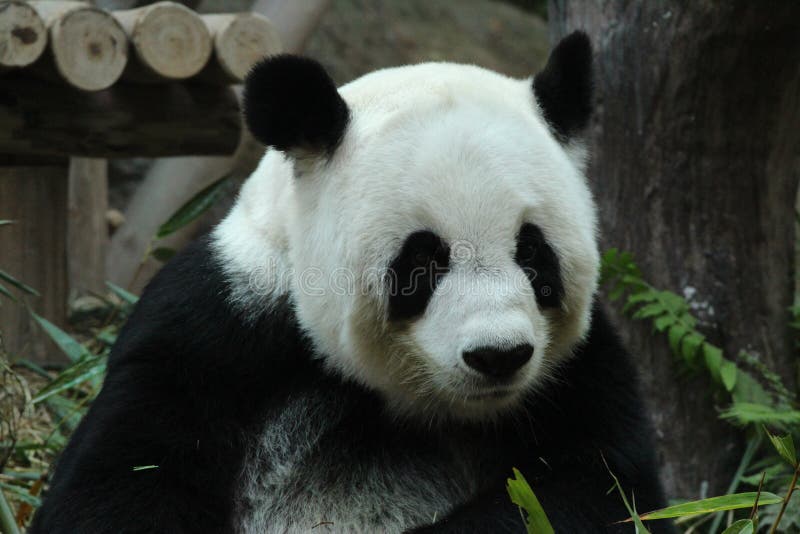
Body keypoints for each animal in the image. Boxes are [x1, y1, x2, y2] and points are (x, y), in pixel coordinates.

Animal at [31, 32, 673, 533]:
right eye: (422, 263)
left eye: (533, 254)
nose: (499, 356)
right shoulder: (214, 333)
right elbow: (116, 490)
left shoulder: (579, 370)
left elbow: (601, 491)